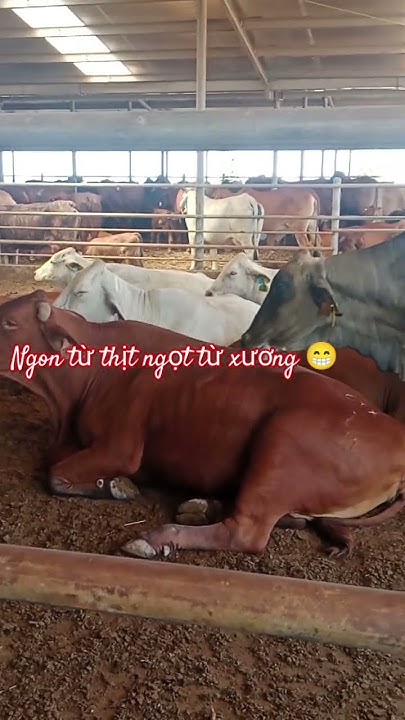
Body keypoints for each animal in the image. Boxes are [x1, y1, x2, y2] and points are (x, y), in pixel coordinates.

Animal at [1, 291, 405, 561]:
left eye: (9, 322)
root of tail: (389, 430)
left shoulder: (120, 447)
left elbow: (55, 476)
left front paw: (114, 486)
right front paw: (112, 485)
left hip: (282, 446)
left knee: (246, 532)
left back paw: (158, 538)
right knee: (290, 519)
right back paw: (202, 506)